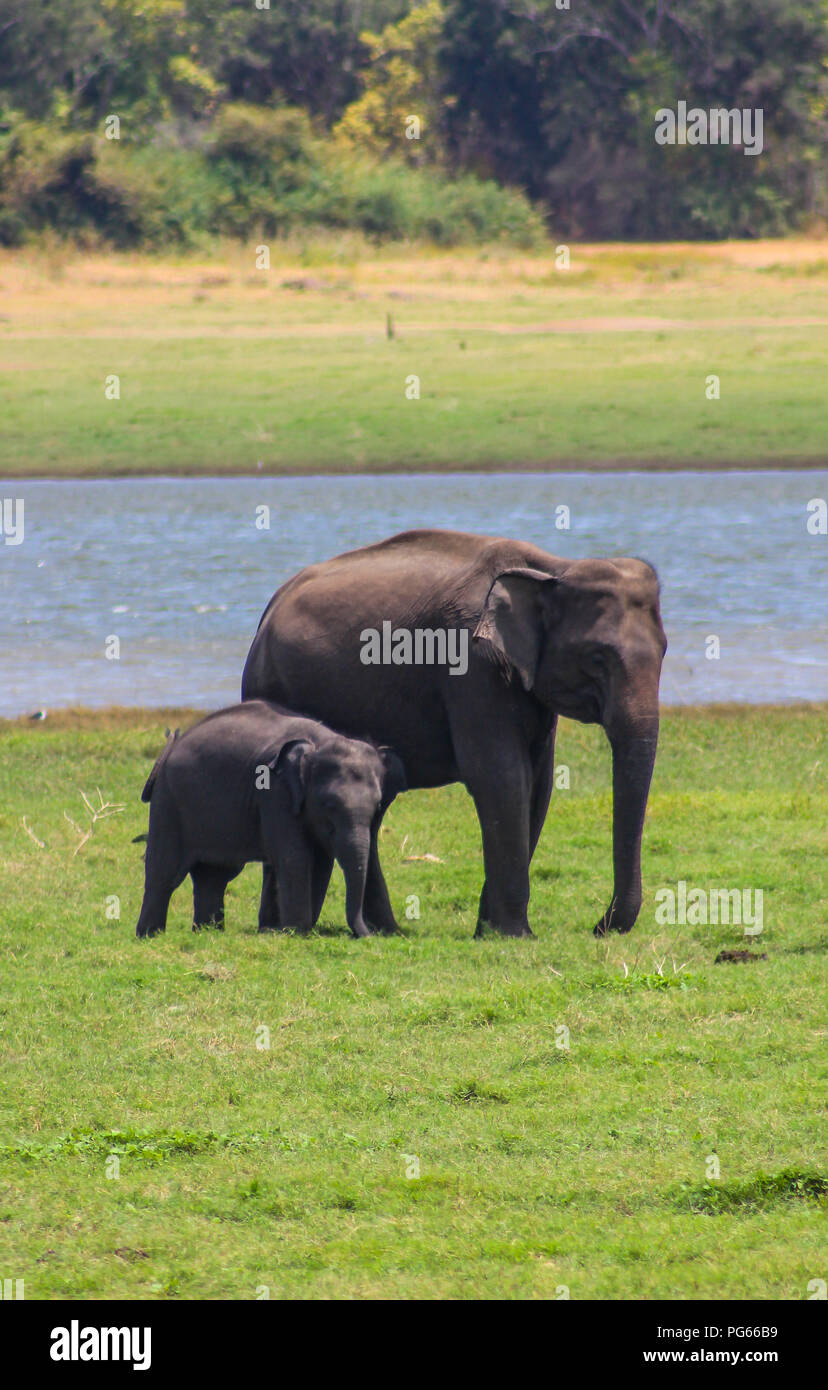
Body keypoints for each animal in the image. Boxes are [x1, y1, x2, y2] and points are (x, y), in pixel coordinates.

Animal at [135, 700, 406, 939]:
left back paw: (208, 933)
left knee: (214, 876)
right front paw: (297, 932)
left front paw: (300, 930)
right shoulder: (275, 792)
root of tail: (170, 747)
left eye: (378, 806)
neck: (320, 742)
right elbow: (296, 857)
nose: (367, 935)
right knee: (164, 871)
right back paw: (150, 935)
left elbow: (320, 862)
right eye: (329, 805)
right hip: (168, 802)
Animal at [241, 529, 667, 939]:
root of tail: (269, 609)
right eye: (597, 658)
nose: (598, 927)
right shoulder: (470, 664)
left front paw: (488, 931)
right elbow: (501, 777)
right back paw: (283, 928)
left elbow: (538, 784)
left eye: (665, 651)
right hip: (273, 685)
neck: (553, 567)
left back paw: (382, 931)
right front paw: (514, 935)